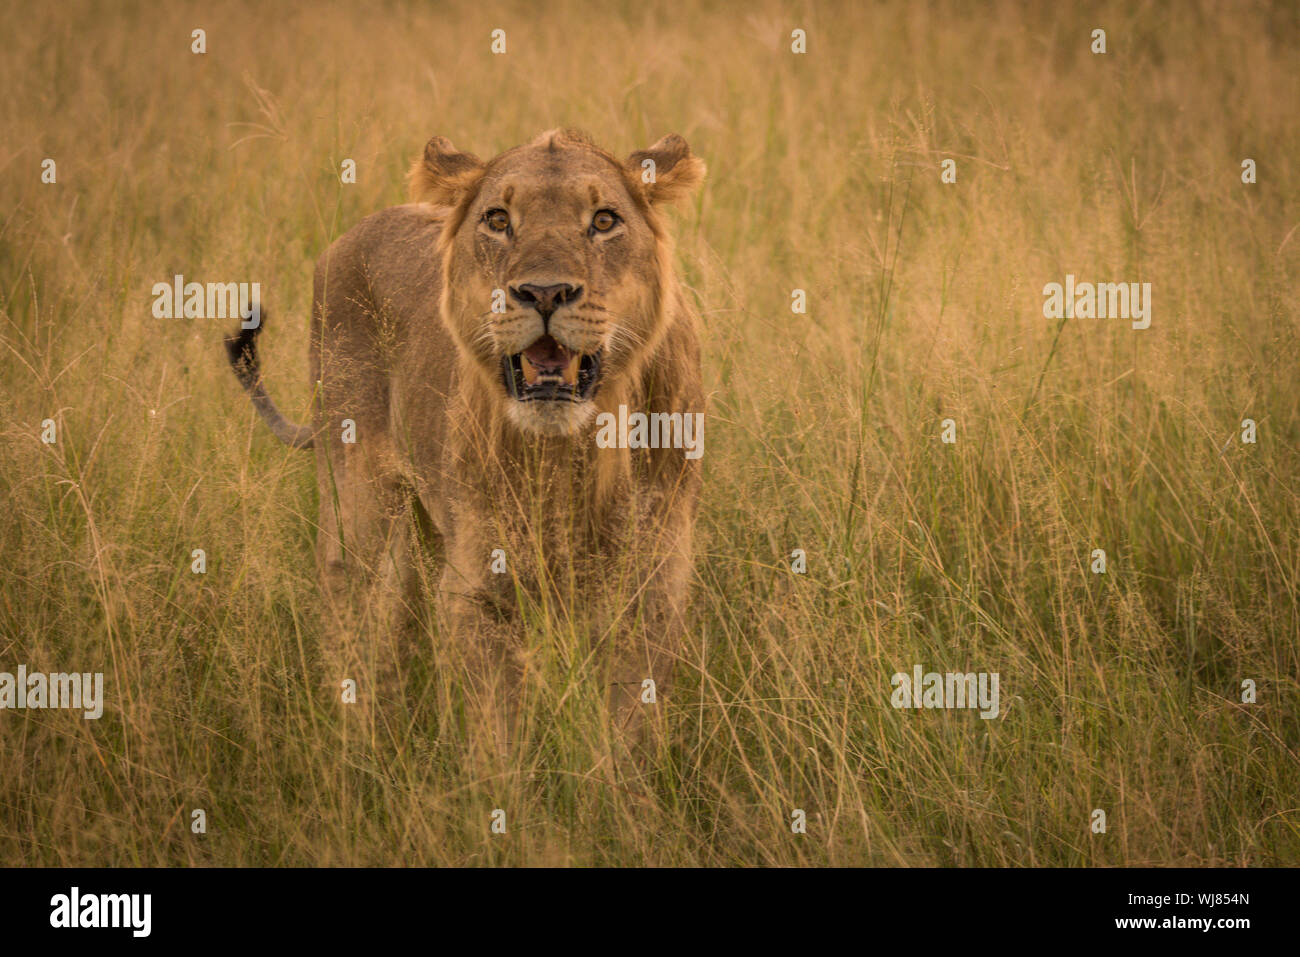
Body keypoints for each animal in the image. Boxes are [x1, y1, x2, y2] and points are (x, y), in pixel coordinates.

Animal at [225, 128, 706, 753]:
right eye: (498, 220)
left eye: (604, 220)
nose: (544, 292)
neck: (569, 457)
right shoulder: (477, 590)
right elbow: (498, 743)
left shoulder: (653, 590)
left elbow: (623, 741)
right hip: (358, 499)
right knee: (348, 606)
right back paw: (360, 748)